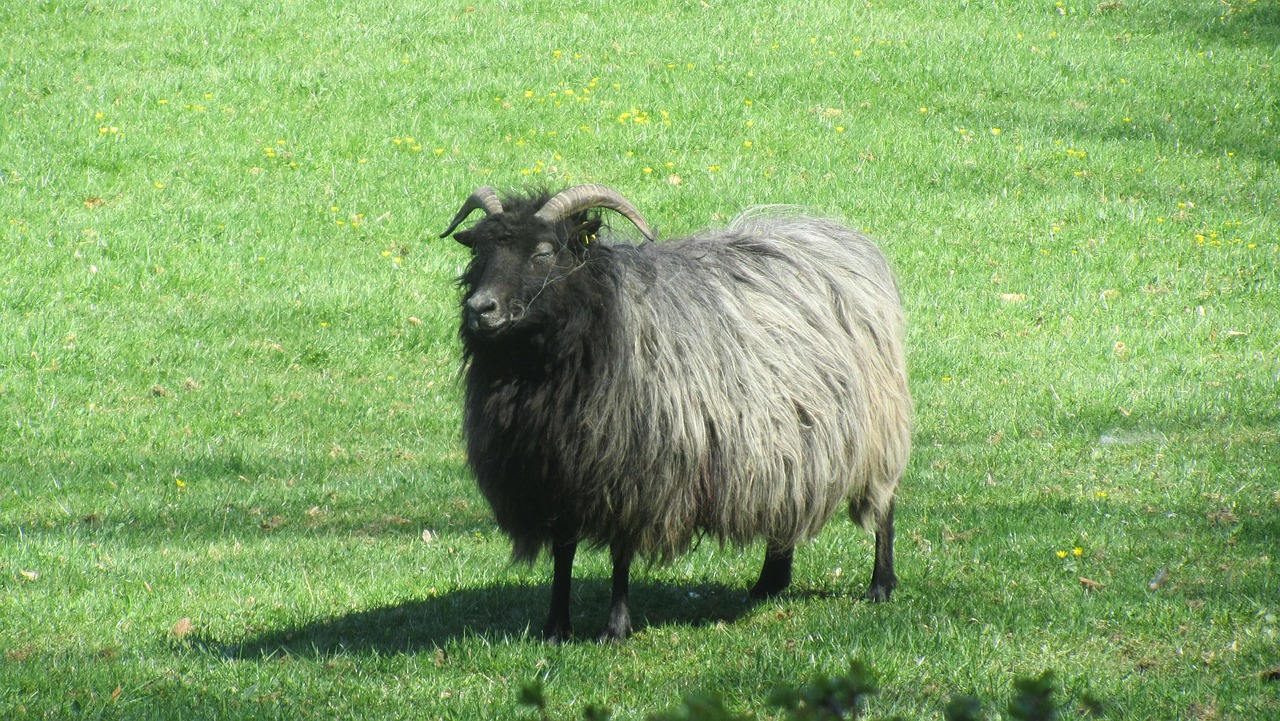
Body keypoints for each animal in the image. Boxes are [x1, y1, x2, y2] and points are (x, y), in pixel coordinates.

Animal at [439, 184, 912, 642]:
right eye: (480, 252)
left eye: (543, 252)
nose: (480, 309)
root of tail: (842, 237)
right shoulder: (556, 474)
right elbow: (563, 551)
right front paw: (556, 628)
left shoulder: (636, 471)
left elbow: (621, 554)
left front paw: (616, 628)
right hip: (791, 436)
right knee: (788, 498)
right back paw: (769, 582)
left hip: (878, 424)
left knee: (884, 503)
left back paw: (881, 585)